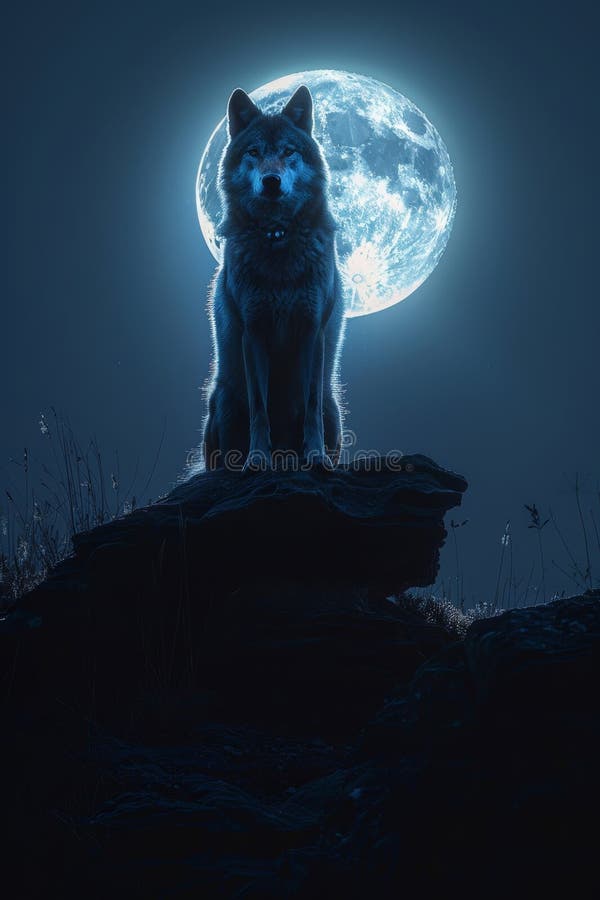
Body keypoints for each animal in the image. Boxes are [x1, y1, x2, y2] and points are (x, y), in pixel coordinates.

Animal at [202, 85, 346, 471]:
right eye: (254, 152)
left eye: (287, 151)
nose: (271, 181)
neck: (278, 237)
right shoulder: (253, 332)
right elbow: (260, 408)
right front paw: (257, 459)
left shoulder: (312, 331)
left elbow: (310, 406)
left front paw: (315, 456)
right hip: (224, 401)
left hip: (334, 410)